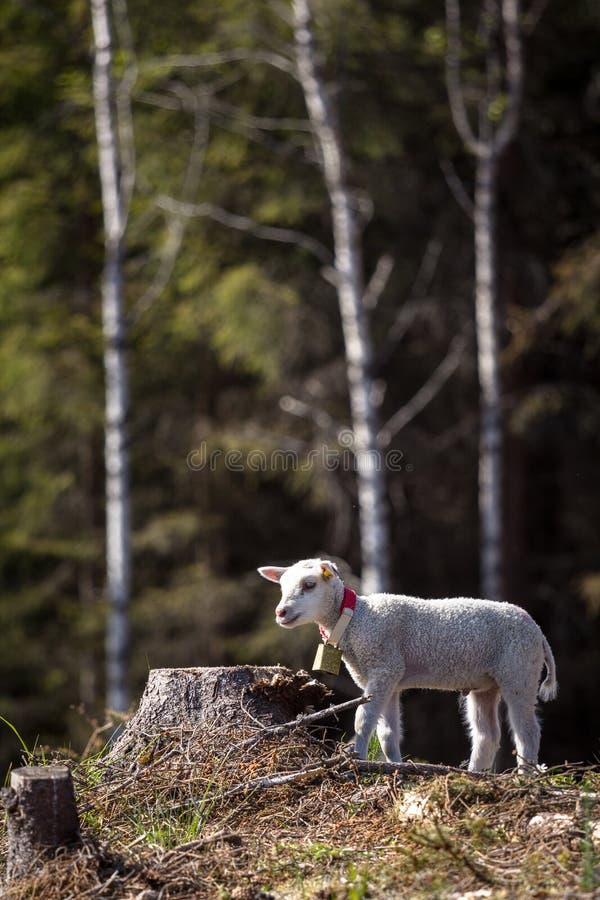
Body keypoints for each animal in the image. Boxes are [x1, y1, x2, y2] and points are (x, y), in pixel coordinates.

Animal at [258, 558, 557, 772]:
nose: (280, 612)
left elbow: (362, 719)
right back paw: (476, 774)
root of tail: (539, 633)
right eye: (282, 587)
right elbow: (388, 733)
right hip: (486, 684)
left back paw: (524, 776)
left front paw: (358, 758)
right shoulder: (389, 679)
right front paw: (395, 765)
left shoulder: (384, 666)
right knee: (487, 736)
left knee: (527, 731)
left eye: (309, 585)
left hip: (518, 670)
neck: (355, 619)